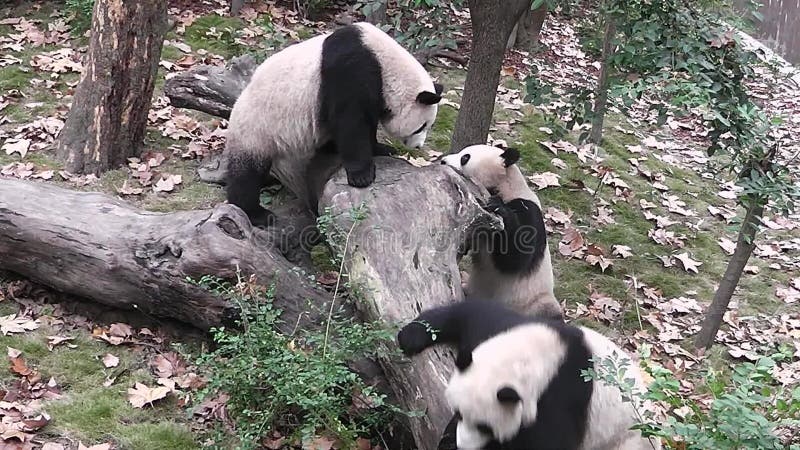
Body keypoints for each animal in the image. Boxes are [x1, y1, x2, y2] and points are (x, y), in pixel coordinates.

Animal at [225, 22, 443, 226]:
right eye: (422, 126)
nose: (418, 146)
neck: (385, 64)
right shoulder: (350, 71)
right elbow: (350, 123)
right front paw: (362, 176)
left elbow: (367, 123)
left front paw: (382, 149)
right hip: (256, 129)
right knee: (247, 174)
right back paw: (255, 213)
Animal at [397, 300, 660, 450]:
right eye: (459, 413)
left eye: (485, 428)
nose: (463, 445)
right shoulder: (501, 329)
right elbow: (470, 312)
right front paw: (410, 335)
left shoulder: (562, 400)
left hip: (625, 441)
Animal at [440, 145, 561, 320]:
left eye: (465, 157)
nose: (442, 161)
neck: (507, 184)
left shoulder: (528, 211)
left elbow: (516, 259)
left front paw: (499, 208)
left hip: (535, 304)